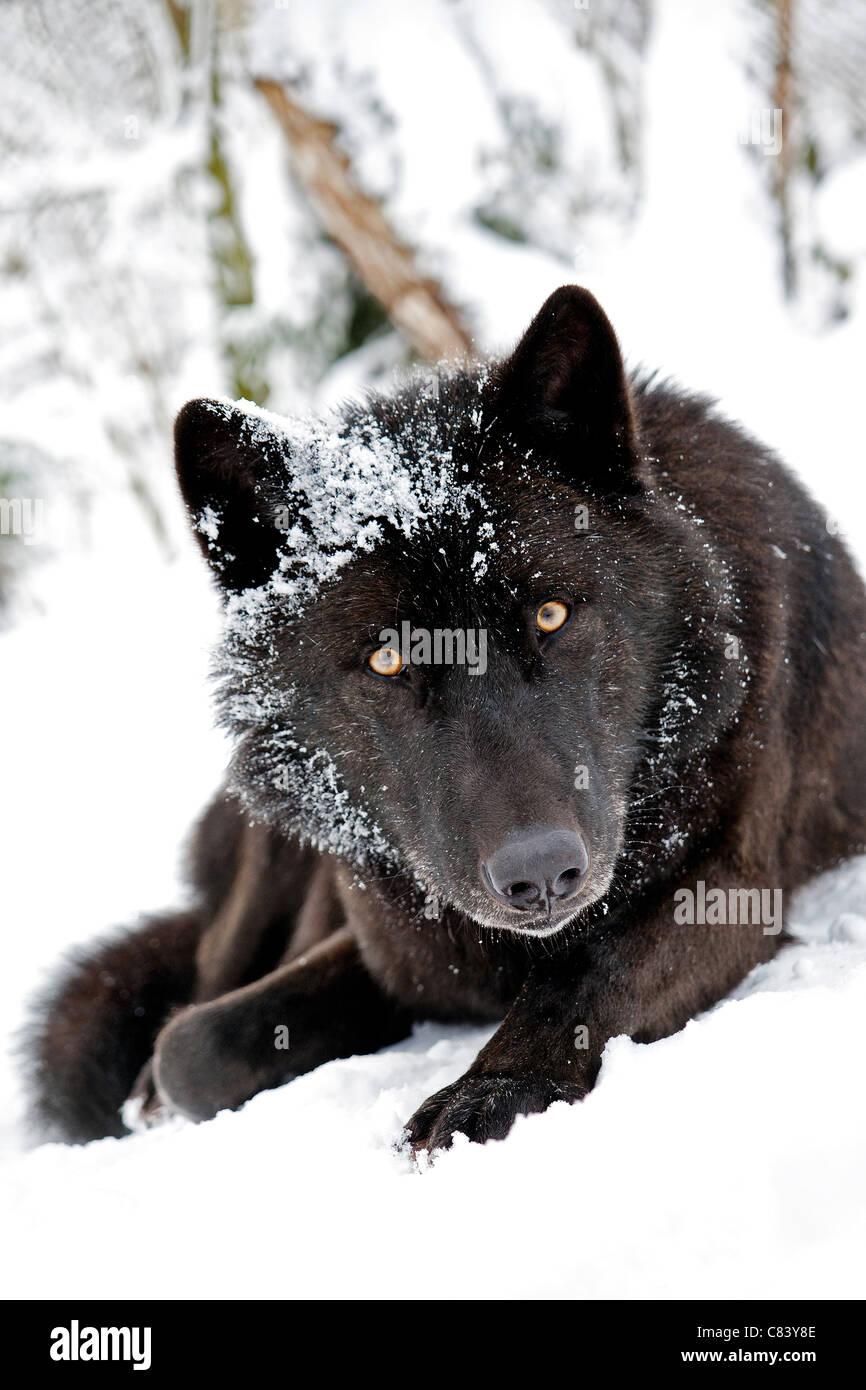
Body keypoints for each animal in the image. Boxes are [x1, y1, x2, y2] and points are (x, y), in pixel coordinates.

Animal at [27, 286, 866, 1151]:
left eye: (552, 615)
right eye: (387, 660)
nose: (540, 872)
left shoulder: (727, 888)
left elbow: (584, 980)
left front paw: (491, 1090)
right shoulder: (389, 941)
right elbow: (193, 1044)